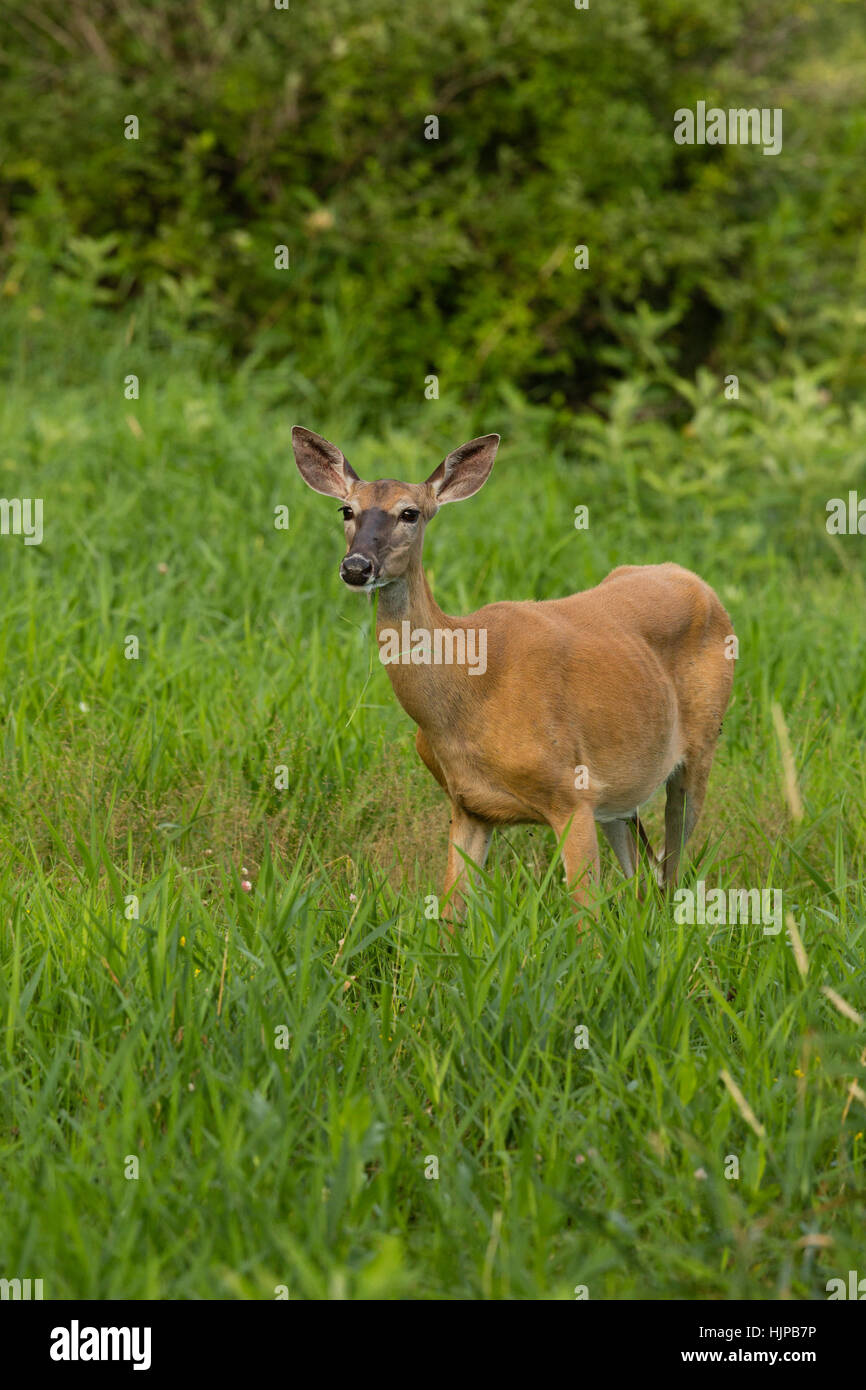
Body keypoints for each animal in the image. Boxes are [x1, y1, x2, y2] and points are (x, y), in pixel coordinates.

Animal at [293, 426, 735, 923]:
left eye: (410, 512)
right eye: (346, 509)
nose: (356, 567)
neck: (468, 693)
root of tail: (696, 581)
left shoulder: (571, 793)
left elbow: (587, 919)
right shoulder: (468, 805)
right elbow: (451, 914)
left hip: (700, 748)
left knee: (672, 872)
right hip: (621, 792)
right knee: (645, 874)